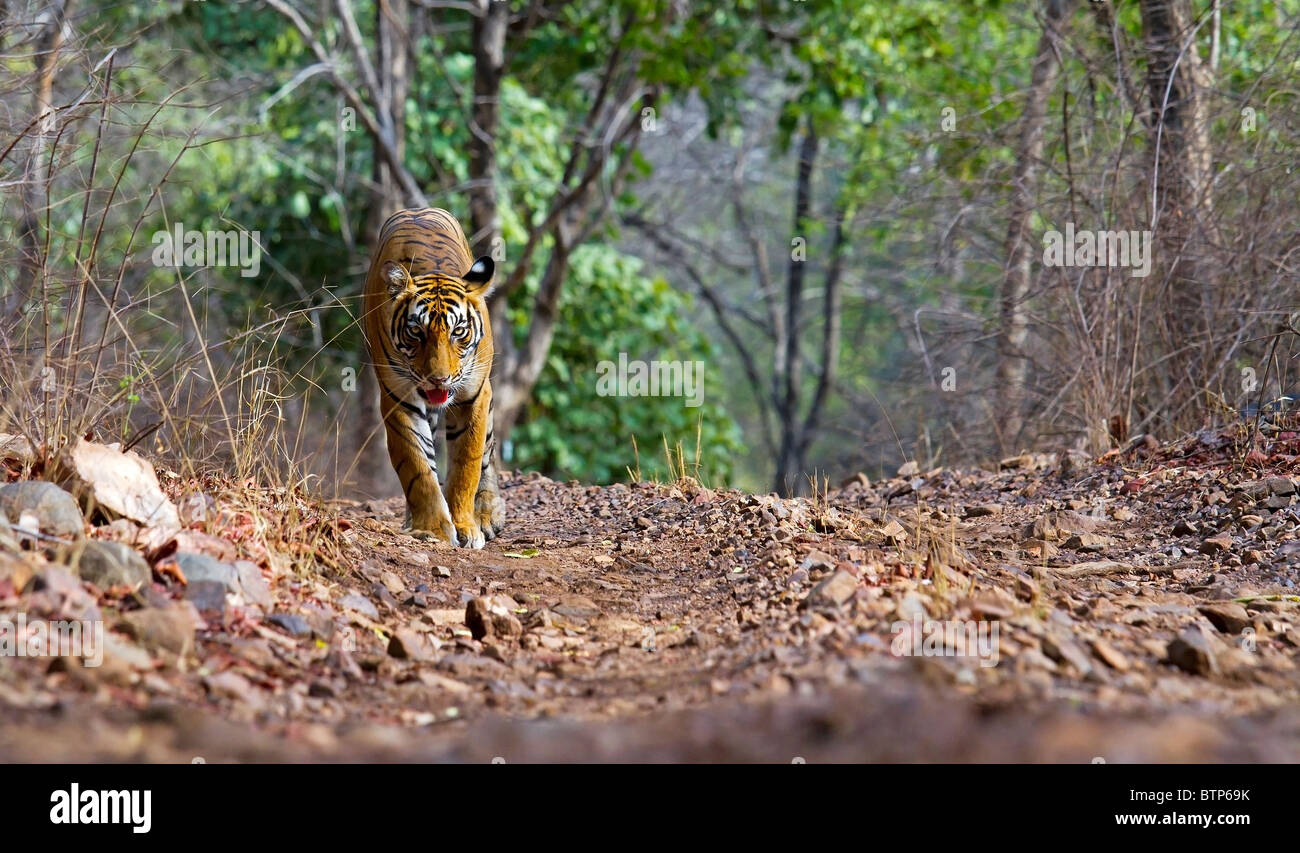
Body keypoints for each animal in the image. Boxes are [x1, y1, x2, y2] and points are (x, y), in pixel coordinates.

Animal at [362, 208, 505, 549]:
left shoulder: (473, 397)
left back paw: (487, 515)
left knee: (488, 452)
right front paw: (433, 529)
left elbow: (467, 464)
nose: (438, 379)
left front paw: (466, 526)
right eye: (416, 331)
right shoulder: (398, 398)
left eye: (458, 331)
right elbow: (418, 468)